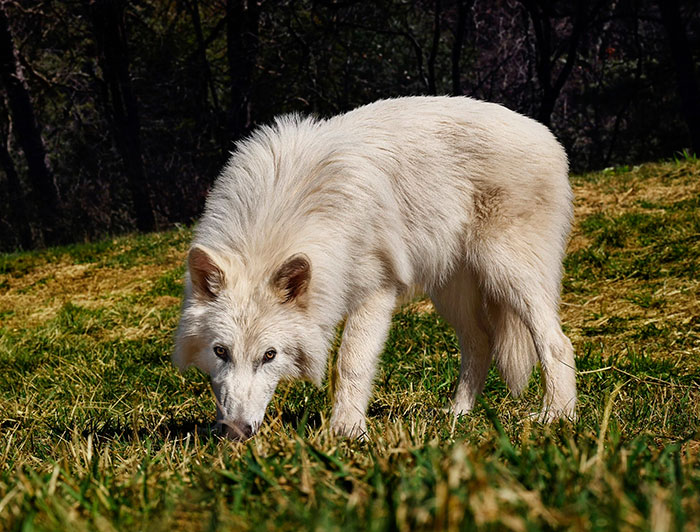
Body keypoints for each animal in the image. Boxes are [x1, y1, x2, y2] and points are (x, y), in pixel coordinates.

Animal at [173, 96, 576, 440]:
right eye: (220, 352)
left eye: (269, 355)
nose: (235, 432)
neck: (282, 212)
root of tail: (546, 135)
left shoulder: (376, 292)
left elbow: (351, 363)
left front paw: (347, 431)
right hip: (451, 293)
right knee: (481, 343)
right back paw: (458, 415)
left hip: (508, 274)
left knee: (556, 342)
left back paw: (558, 415)